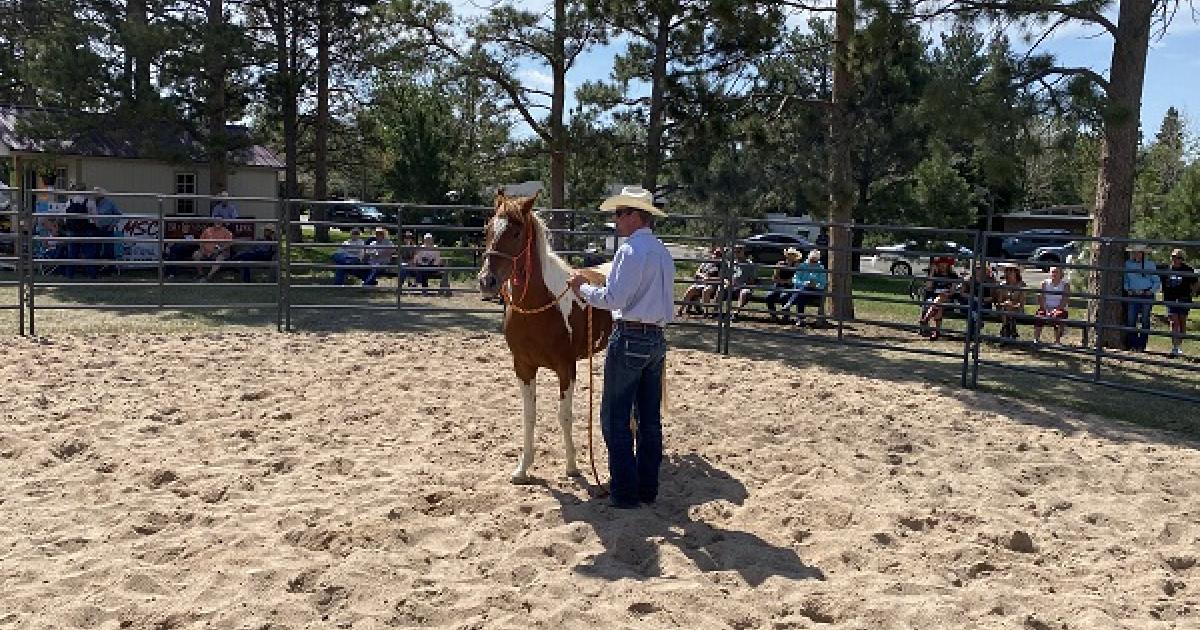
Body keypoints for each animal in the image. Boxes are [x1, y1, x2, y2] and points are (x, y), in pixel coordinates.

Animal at [477, 191, 613, 484]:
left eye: (516, 232)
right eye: (487, 229)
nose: (486, 281)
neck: (539, 308)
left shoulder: (566, 367)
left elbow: (564, 415)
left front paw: (572, 466)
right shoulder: (523, 367)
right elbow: (529, 416)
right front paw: (522, 468)